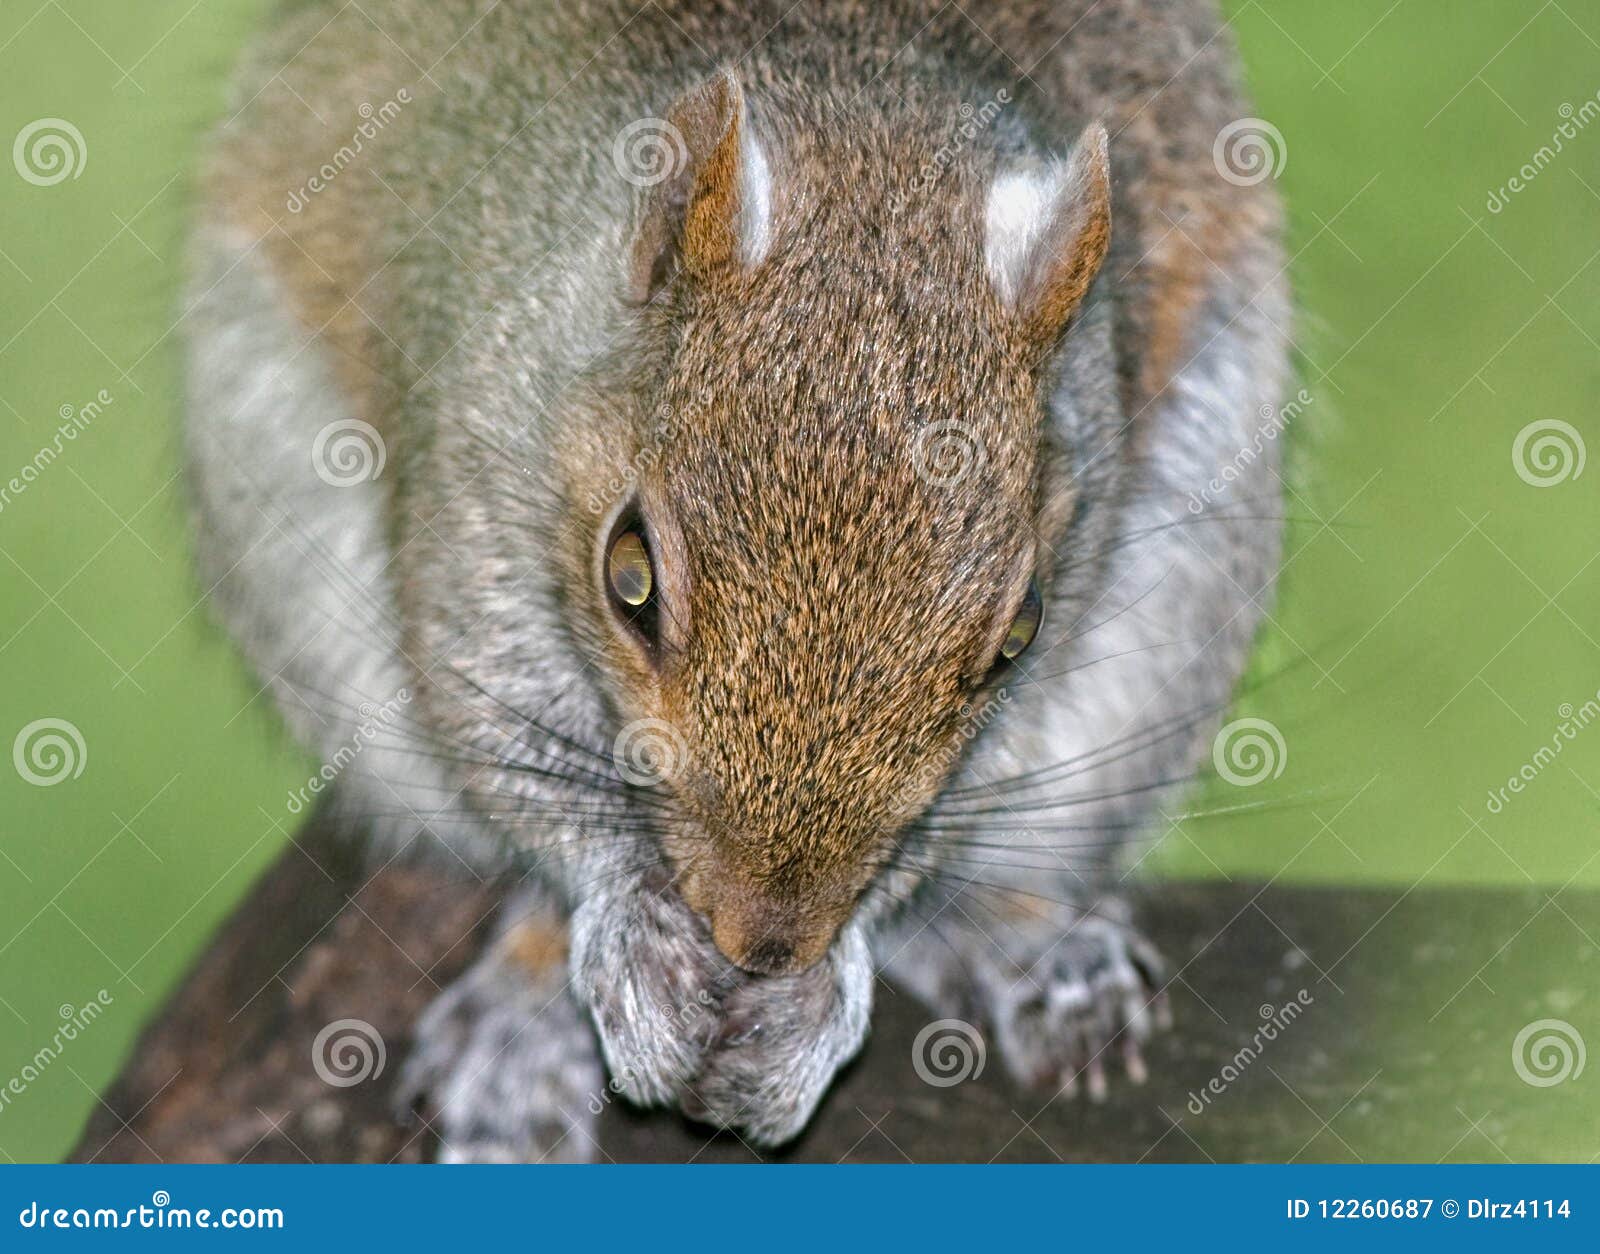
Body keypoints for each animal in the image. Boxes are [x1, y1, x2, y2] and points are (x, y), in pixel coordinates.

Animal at [184, 0, 1288, 1160]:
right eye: (628, 572)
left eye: (1021, 631)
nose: (764, 943)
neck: (866, 134)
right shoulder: (472, 483)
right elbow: (514, 744)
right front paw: (632, 918)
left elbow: (956, 799)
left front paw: (827, 983)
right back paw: (528, 1026)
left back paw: (1019, 944)